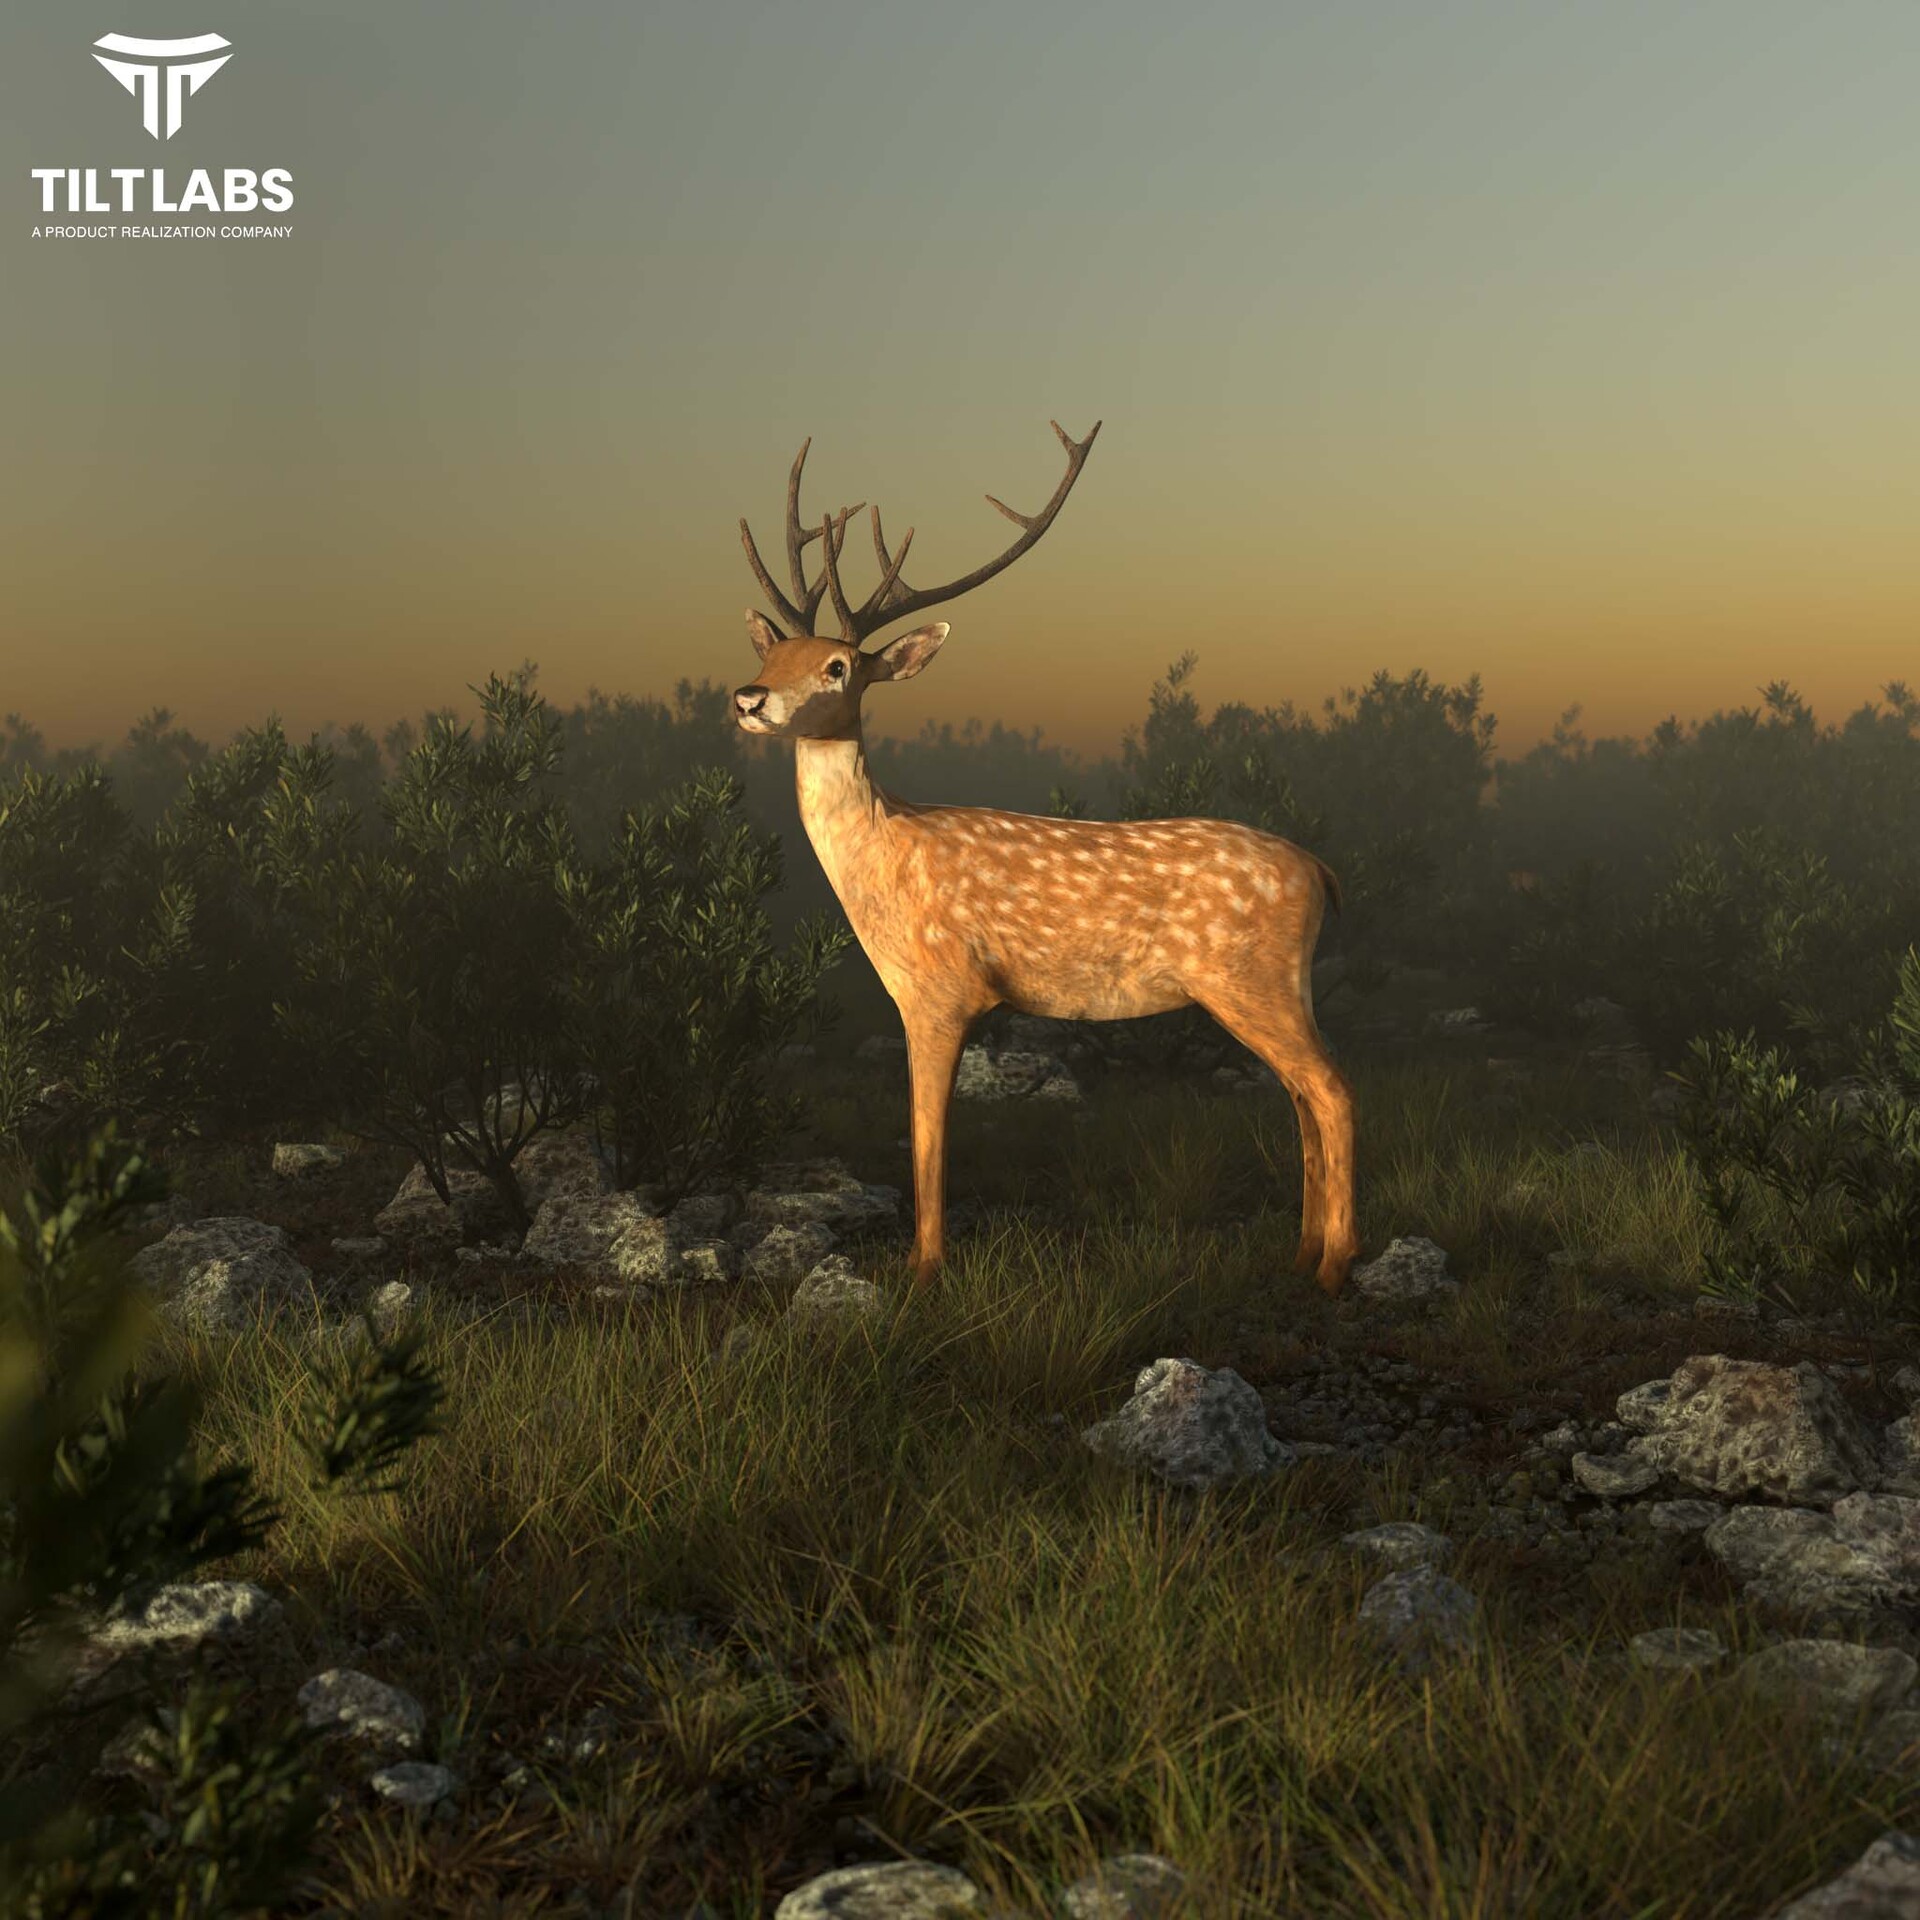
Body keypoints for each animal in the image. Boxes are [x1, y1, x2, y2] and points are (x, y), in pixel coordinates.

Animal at [731, 420, 1359, 1295]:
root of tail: (1321, 872)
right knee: (1304, 1094)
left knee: (1332, 1089)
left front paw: (925, 1271)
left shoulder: (941, 990)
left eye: (839, 666)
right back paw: (1300, 1255)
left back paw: (1335, 1267)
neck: (888, 863)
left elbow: (928, 1139)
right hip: (1274, 985)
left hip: (1248, 977)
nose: (748, 698)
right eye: (772, 652)